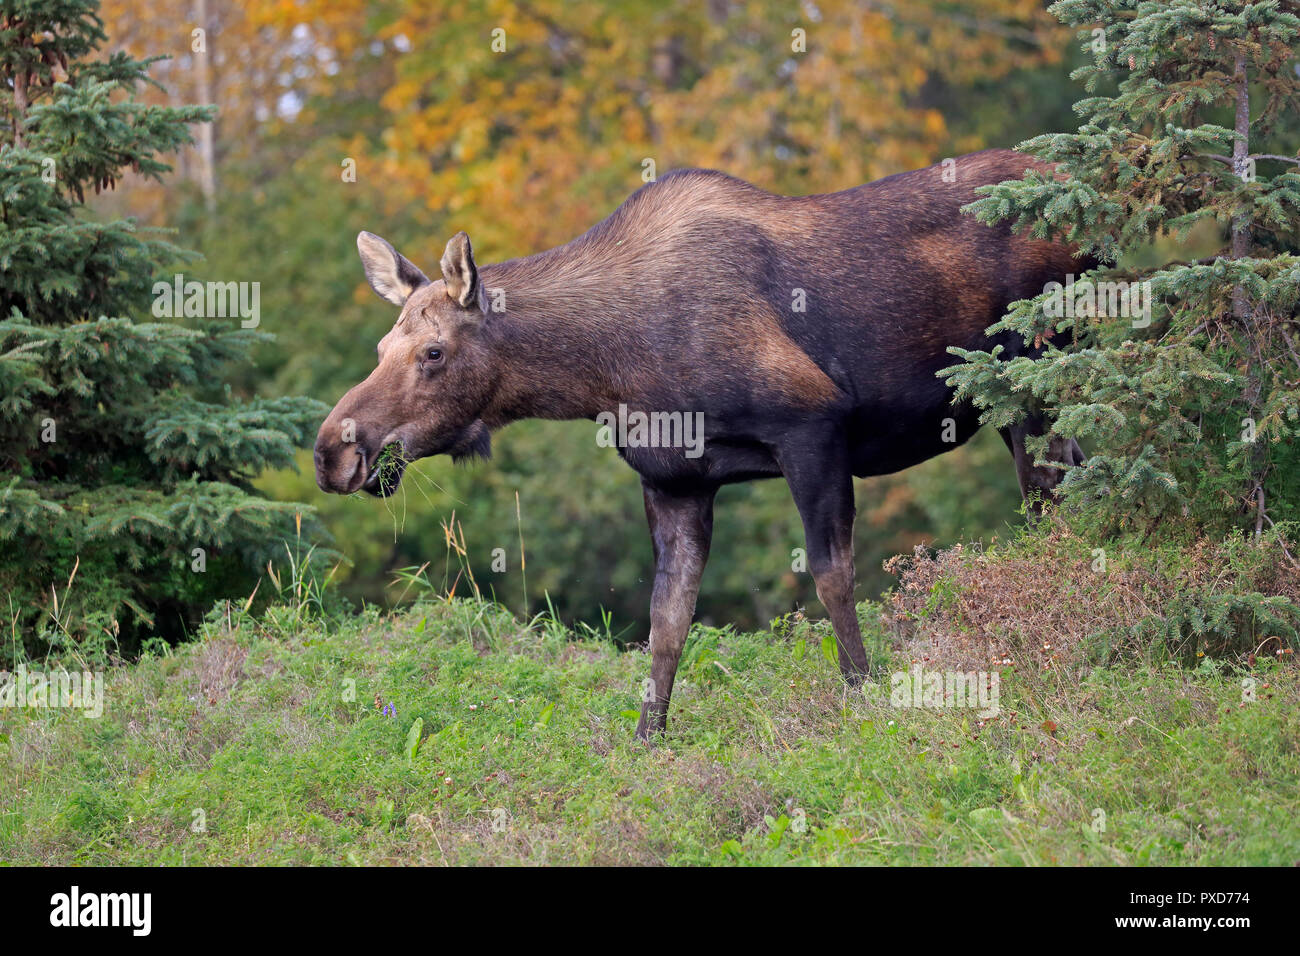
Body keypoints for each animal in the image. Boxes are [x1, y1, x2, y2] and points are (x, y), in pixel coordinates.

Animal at [314, 149, 1089, 741]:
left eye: (434, 353)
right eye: (381, 348)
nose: (333, 452)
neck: (604, 370)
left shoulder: (811, 427)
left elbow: (832, 577)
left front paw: (862, 696)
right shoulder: (675, 479)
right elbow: (668, 619)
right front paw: (647, 736)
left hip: (1040, 371)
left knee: (1054, 495)